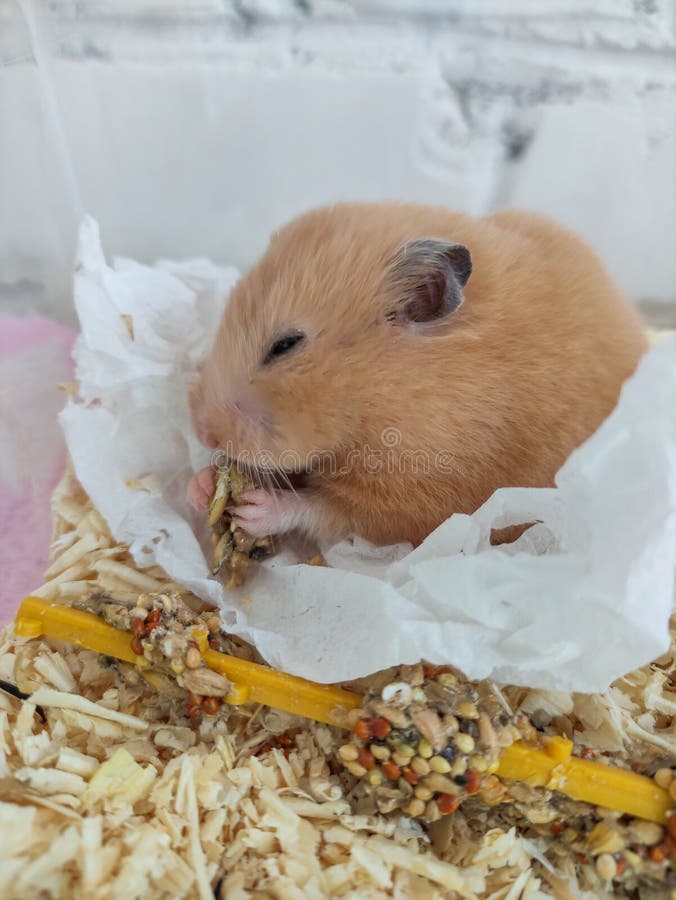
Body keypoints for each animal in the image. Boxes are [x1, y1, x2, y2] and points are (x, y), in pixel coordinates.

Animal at [188, 203, 648, 547]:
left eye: (285, 345)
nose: (203, 432)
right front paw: (201, 485)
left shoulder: (413, 496)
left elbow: (325, 509)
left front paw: (254, 509)